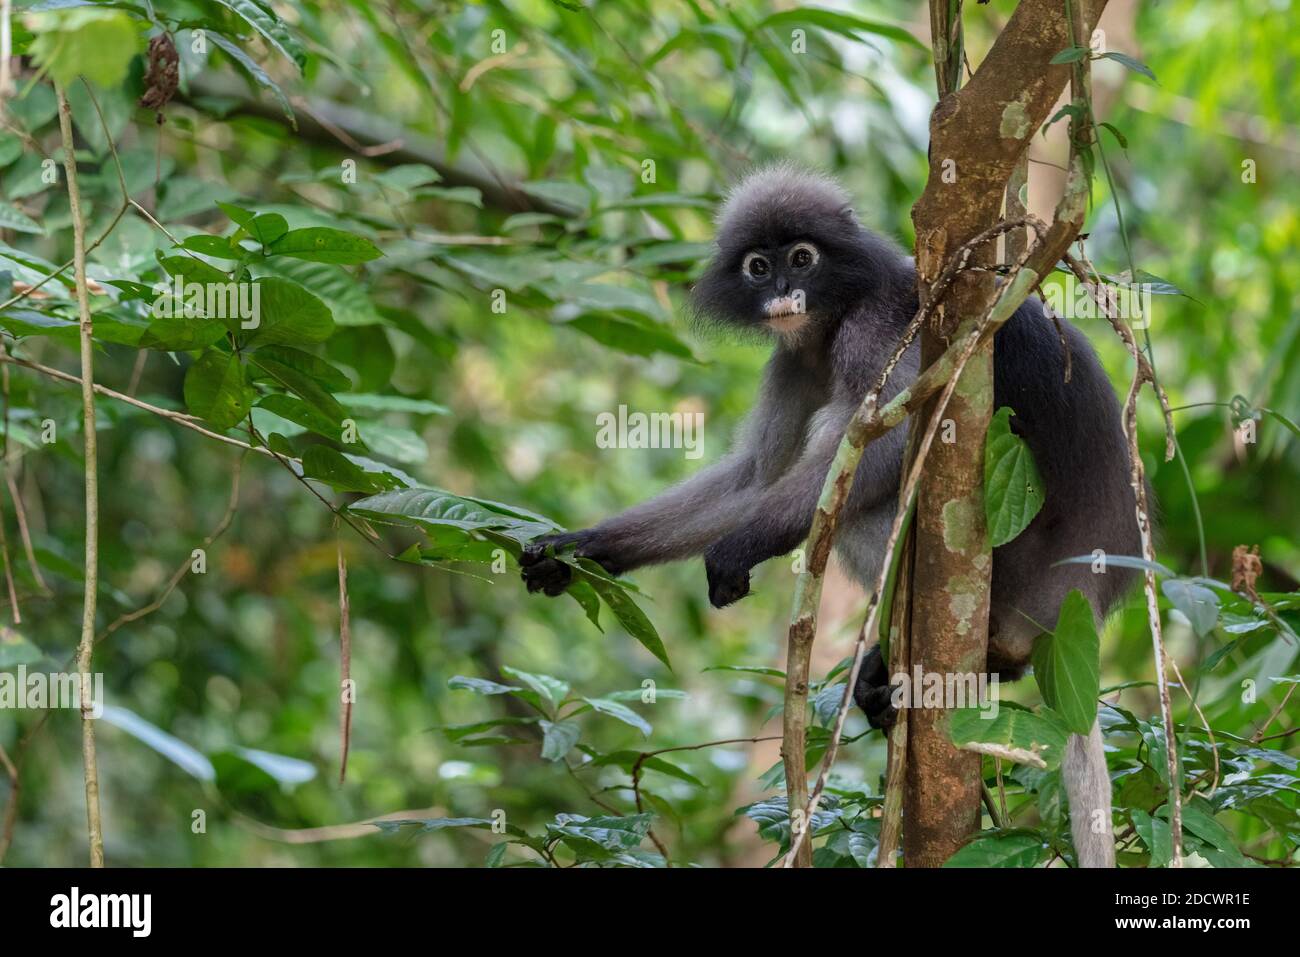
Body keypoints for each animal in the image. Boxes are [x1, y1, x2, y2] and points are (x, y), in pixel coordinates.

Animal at [519, 165, 1141, 868]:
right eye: (759, 267)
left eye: (802, 259)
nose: (783, 292)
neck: (833, 313)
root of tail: (1079, 603)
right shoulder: (792, 359)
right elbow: (755, 477)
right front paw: (580, 550)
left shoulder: (882, 324)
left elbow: (887, 447)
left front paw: (737, 550)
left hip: (1017, 578)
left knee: (865, 508)